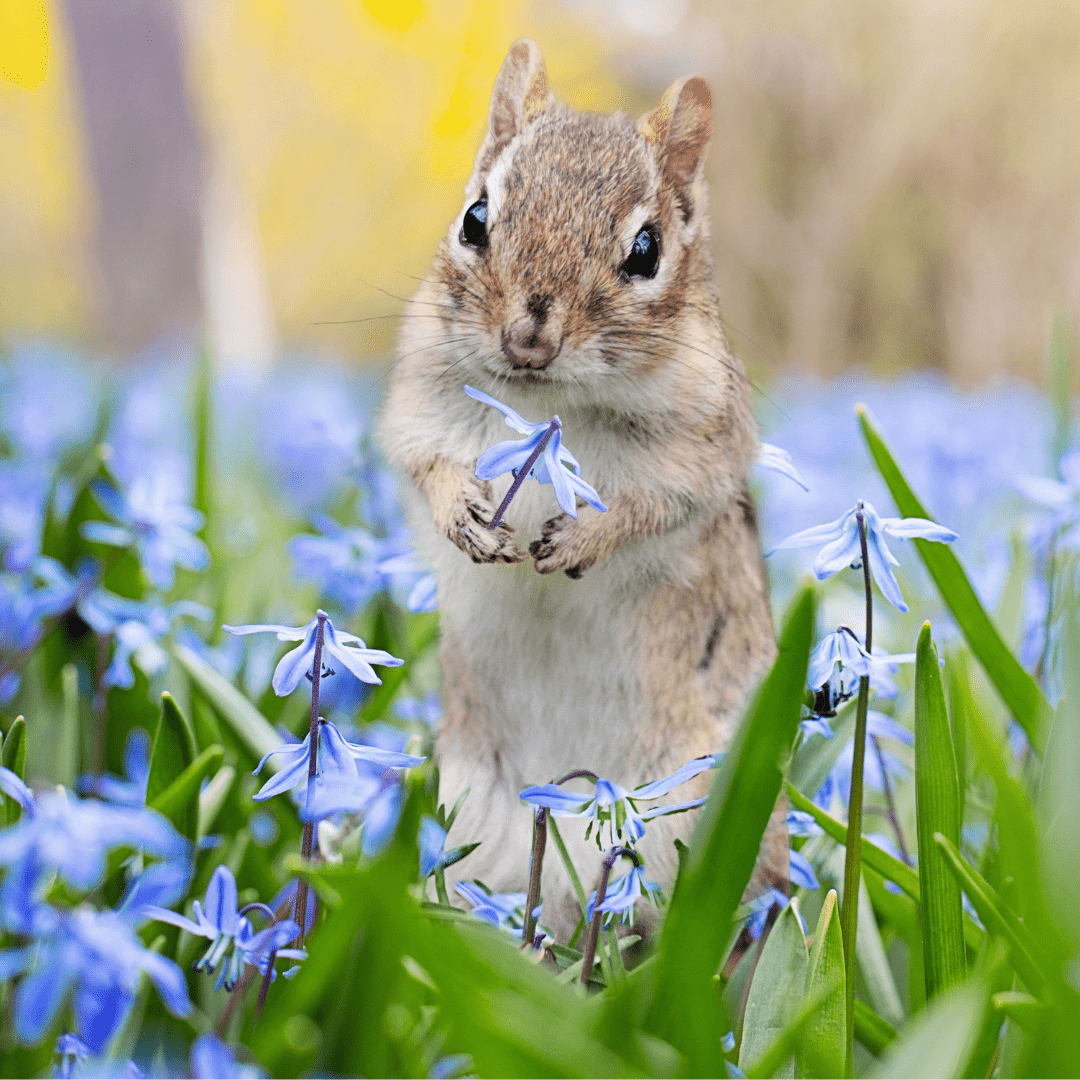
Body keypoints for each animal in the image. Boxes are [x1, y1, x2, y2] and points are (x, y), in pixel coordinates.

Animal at [379, 40, 783, 933]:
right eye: (475, 218)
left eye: (646, 250)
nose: (528, 337)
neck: (544, 403)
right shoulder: (419, 404)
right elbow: (426, 465)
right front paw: (464, 516)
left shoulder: (701, 446)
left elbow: (654, 507)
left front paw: (583, 538)